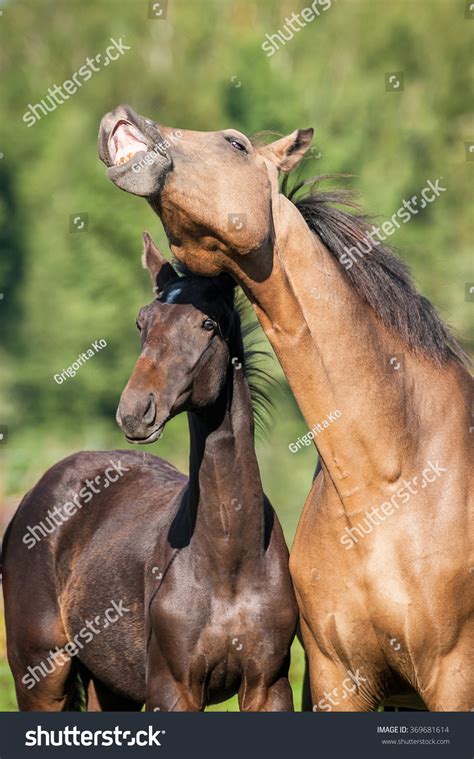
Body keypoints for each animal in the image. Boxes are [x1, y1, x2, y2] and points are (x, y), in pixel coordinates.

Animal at [2, 233, 297, 711]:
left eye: (208, 324)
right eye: (143, 321)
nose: (135, 411)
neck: (229, 561)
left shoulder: (268, 686)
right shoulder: (173, 688)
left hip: (111, 684)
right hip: (41, 673)